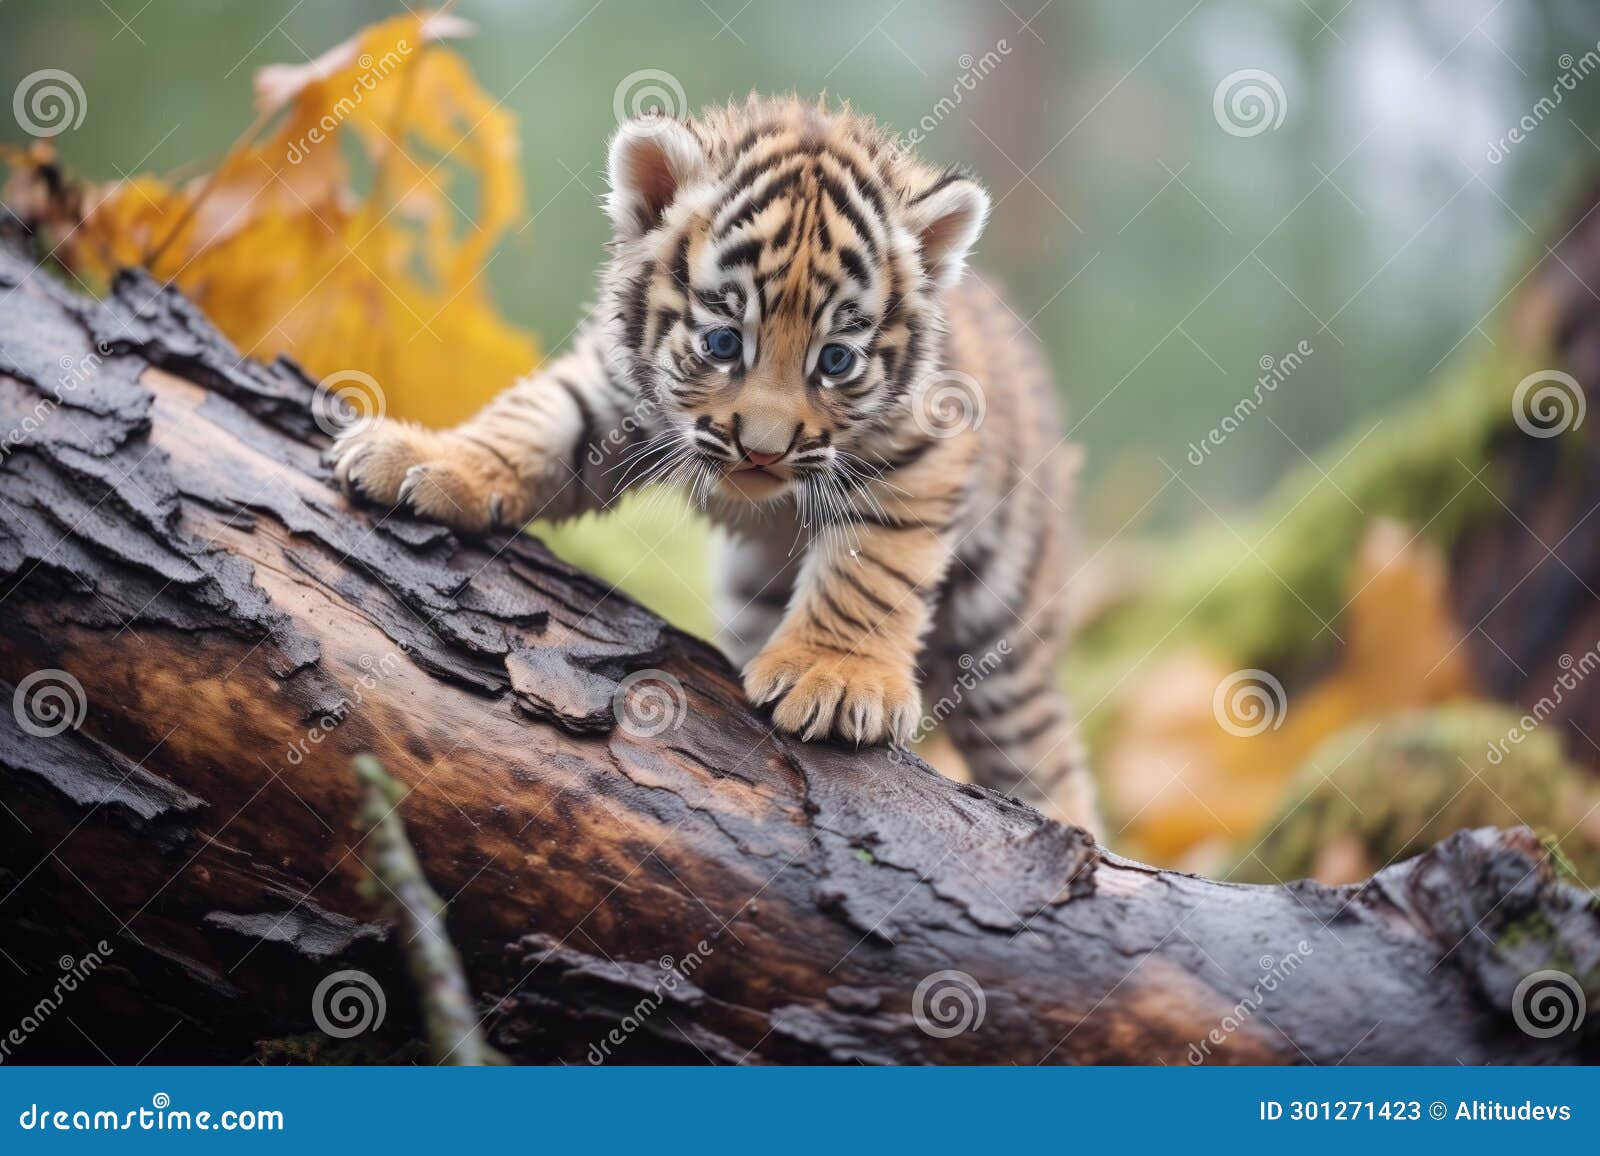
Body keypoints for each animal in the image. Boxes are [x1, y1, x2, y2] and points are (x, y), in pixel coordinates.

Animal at [331, 94, 1098, 832]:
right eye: (724, 343)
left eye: (835, 360)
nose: (763, 448)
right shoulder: (611, 391)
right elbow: (531, 420)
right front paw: (420, 457)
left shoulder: (923, 448)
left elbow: (870, 567)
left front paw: (835, 675)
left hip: (1003, 630)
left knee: (1044, 758)